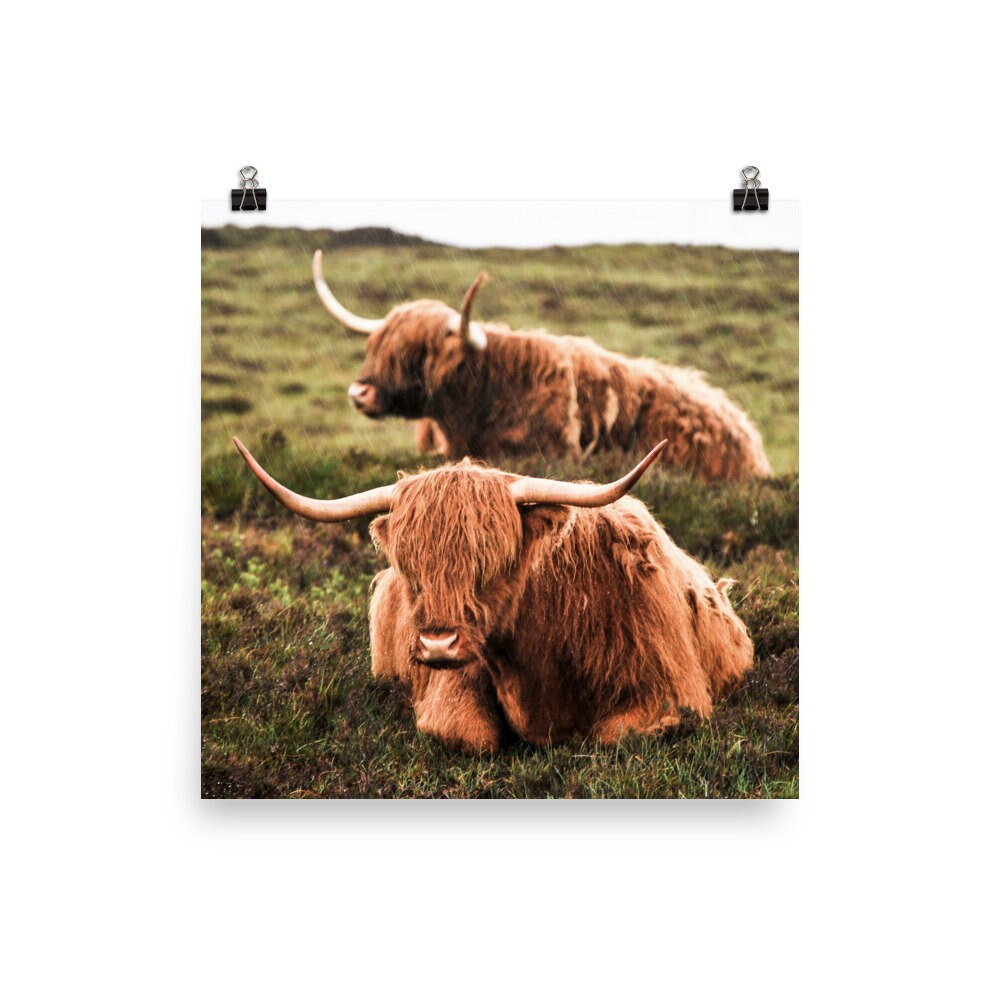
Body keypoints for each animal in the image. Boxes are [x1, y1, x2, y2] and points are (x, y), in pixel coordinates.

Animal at [233, 436, 755, 751]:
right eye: (411, 568)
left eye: (490, 563)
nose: (438, 644)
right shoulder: (453, 687)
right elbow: (471, 735)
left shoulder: (668, 693)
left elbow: (611, 735)